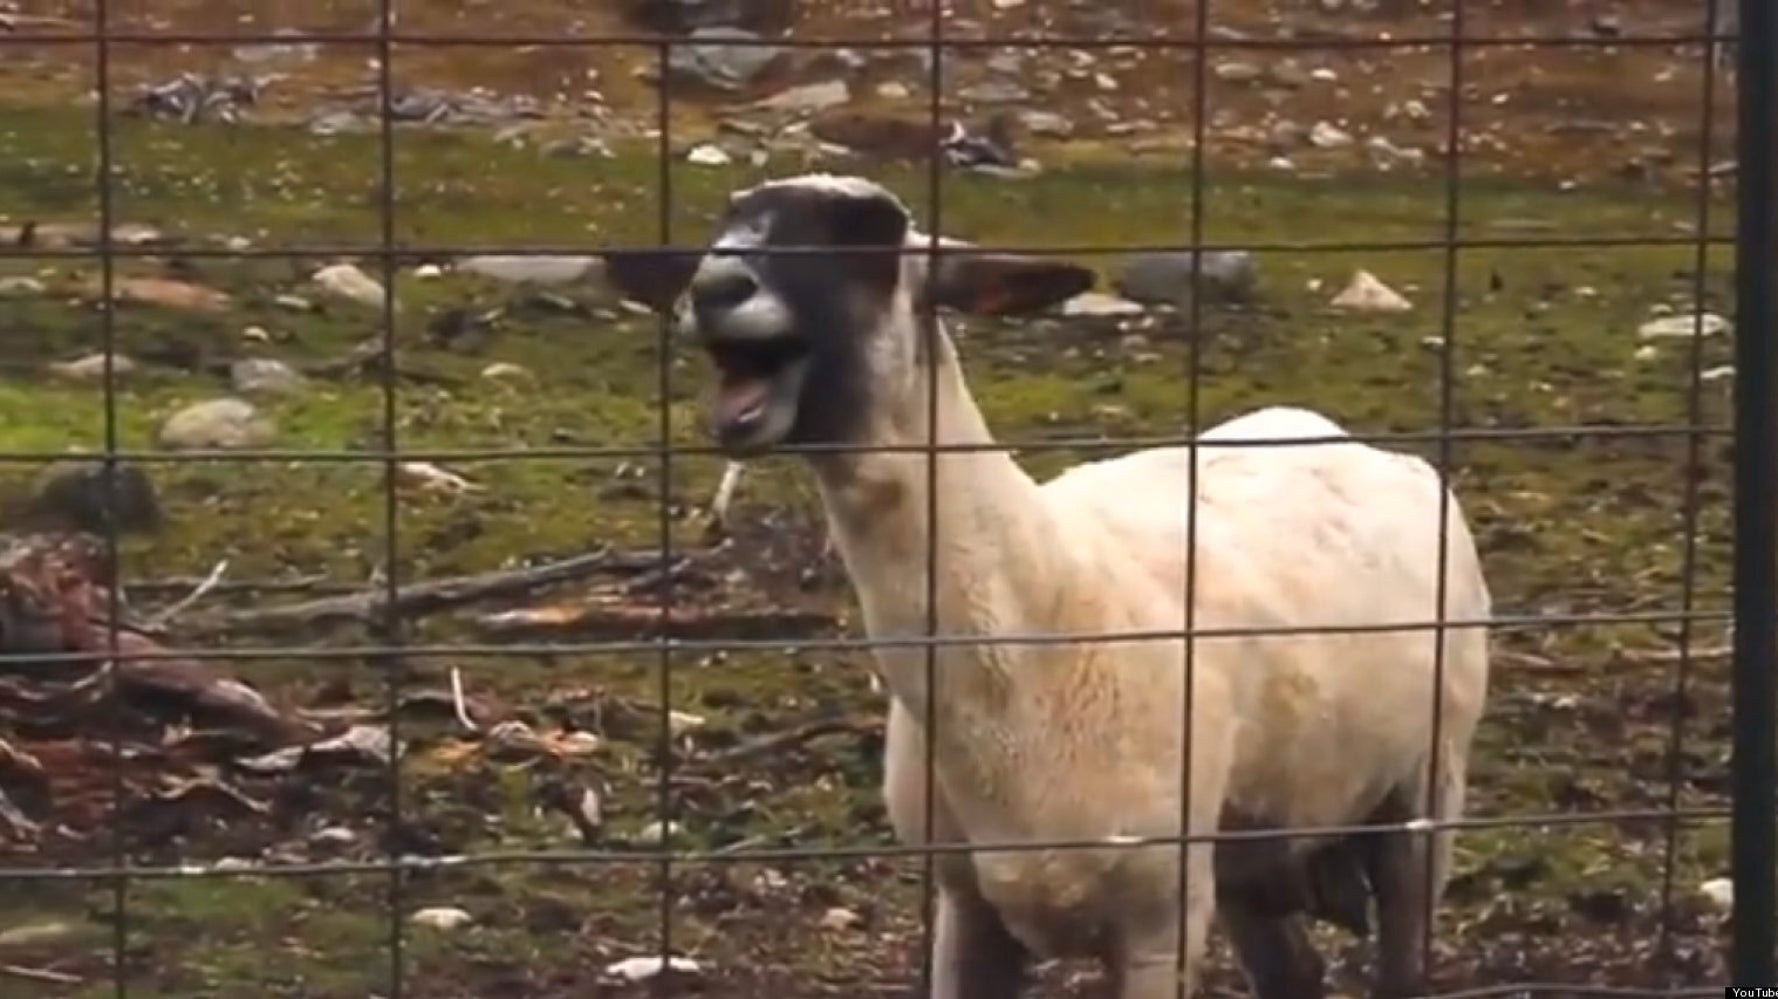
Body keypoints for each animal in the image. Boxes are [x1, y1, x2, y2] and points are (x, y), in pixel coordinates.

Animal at [602, 173, 1492, 999]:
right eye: (724, 223)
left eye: (869, 233)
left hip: (1428, 783)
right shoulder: (967, 905)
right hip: (1250, 838)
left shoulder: (1158, 919)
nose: (715, 288)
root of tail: (1349, 438)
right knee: (1294, 972)